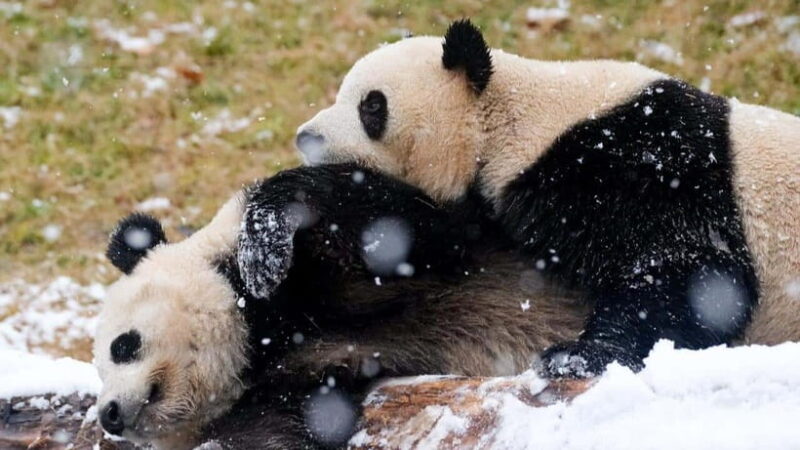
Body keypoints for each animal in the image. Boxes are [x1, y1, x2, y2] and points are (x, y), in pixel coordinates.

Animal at [93, 163, 589, 449]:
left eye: (122, 346)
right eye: (98, 369)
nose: (109, 415)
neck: (259, 339)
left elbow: (384, 216)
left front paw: (267, 240)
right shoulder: (281, 392)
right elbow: (278, 434)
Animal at [295, 19, 800, 377]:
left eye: (371, 106)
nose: (306, 137)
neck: (514, 118)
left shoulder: (646, 164)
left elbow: (692, 272)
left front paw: (578, 355)